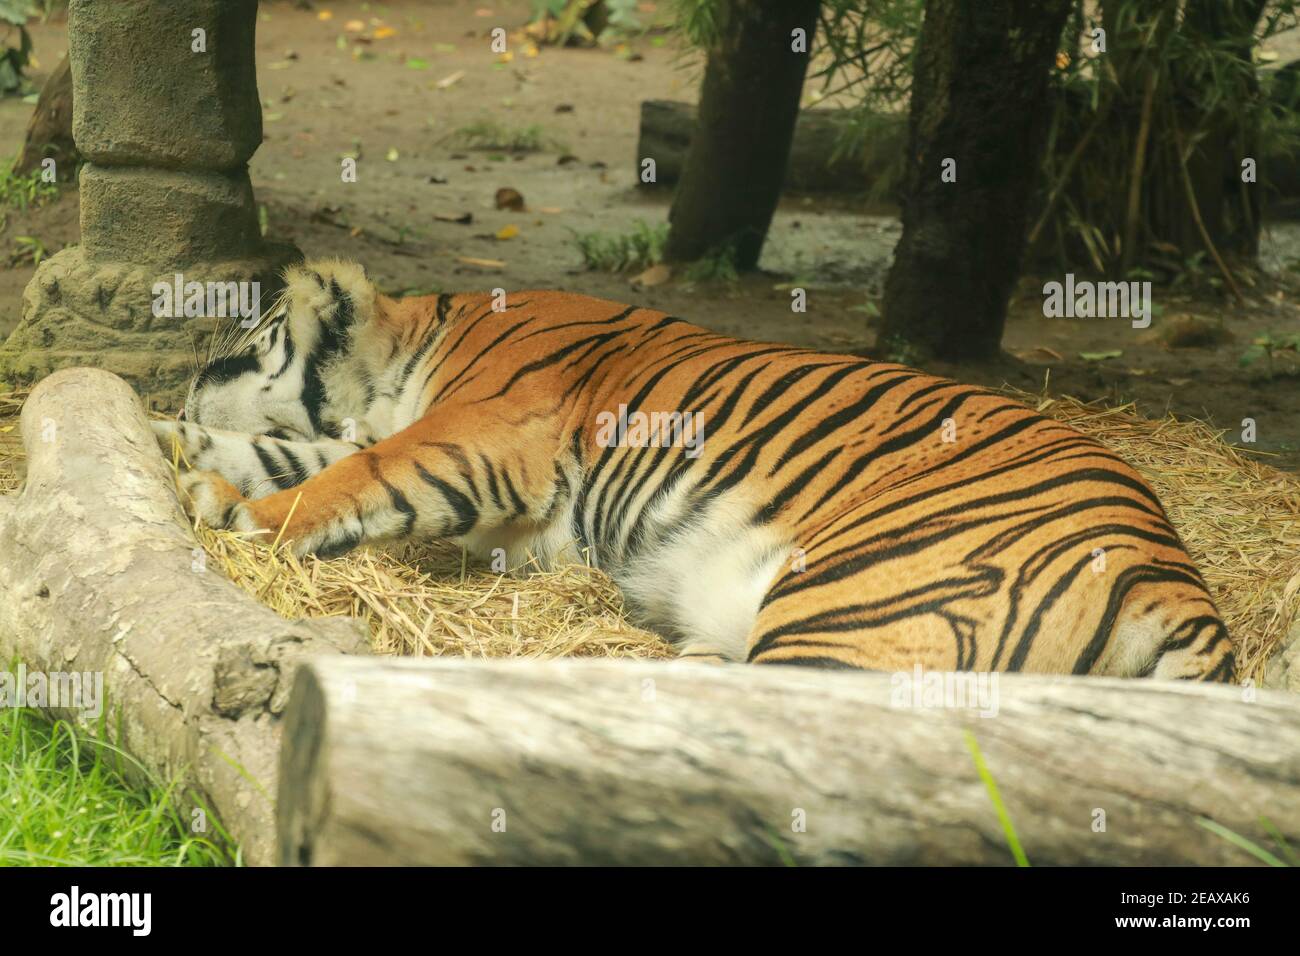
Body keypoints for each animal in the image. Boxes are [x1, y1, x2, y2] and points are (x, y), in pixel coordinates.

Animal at [152, 258, 1235, 680]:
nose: (194, 369)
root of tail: (1170, 570)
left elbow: (340, 475)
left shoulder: (485, 432)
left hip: (848, 597)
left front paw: (235, 510)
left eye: (249, 340)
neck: (422, 342)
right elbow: (289, 451)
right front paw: (180, 452)